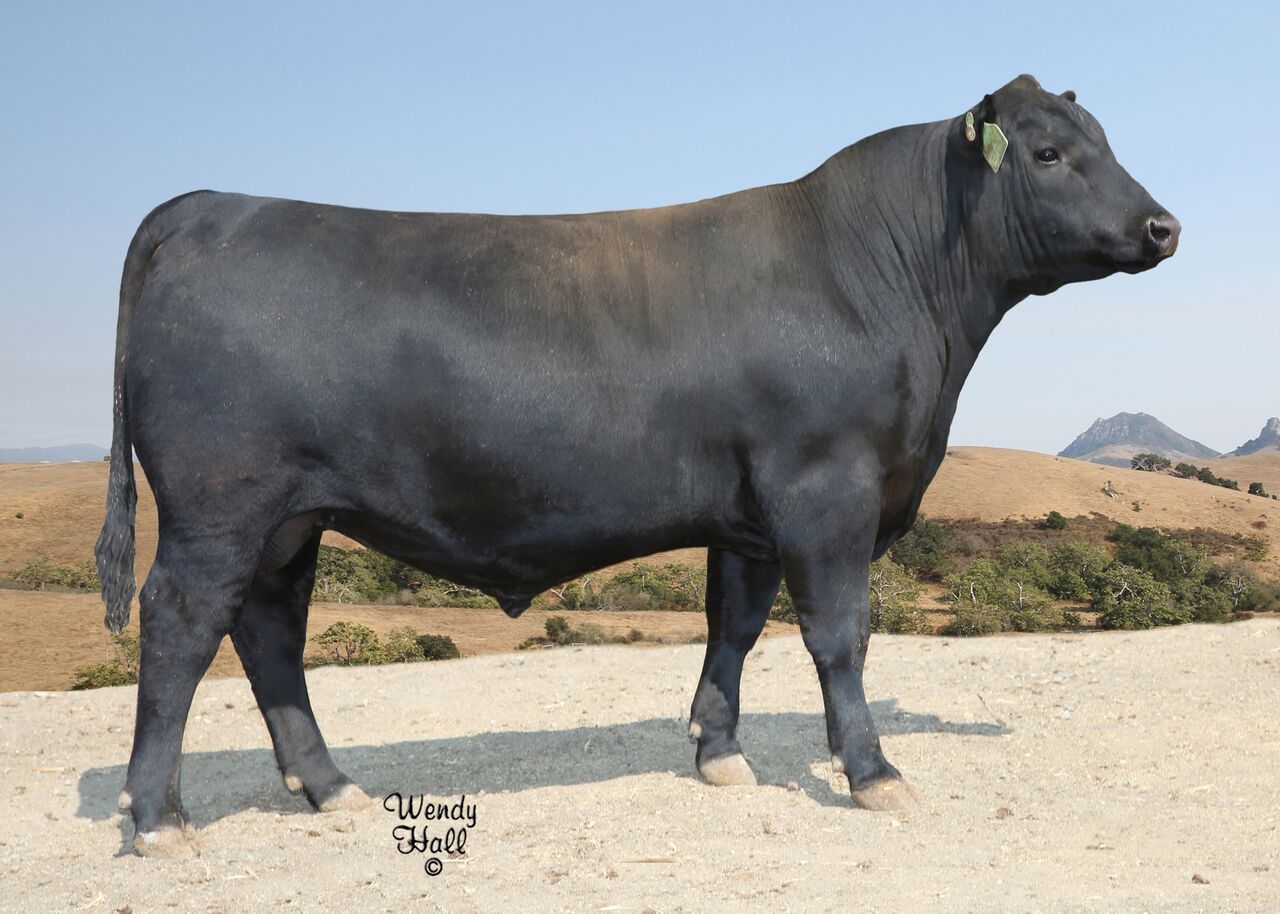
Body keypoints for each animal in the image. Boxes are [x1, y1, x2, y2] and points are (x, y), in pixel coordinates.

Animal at [96, 75, 1178, 855]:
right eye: (1047, 153)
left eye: (1108, 144)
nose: (1163, 225)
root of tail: (205, 207)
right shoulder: (824, 489)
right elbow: (840, 635)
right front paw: (873, 772)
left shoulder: (750, 512)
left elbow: (733, 626)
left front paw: (719, 754)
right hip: (219, 507)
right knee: (183, 624)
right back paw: (158, 817)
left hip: (288, 520)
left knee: (270, 633)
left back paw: (329, 787)